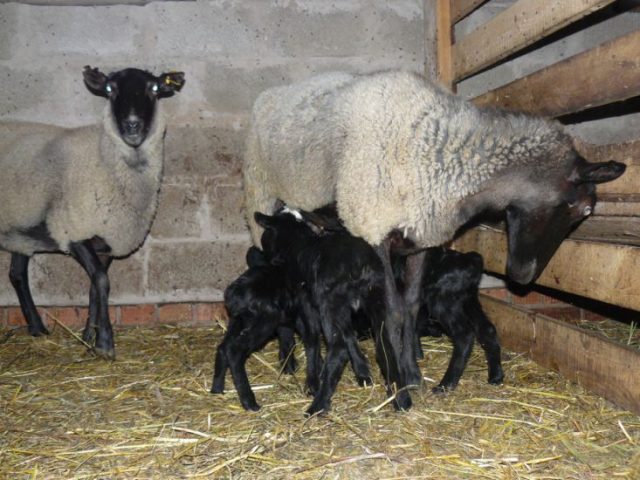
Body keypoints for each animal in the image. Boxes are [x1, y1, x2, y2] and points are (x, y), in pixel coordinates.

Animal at [0, 66, 185, 359]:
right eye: (110, 89)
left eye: (154, 88)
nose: (132, 125)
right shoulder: (75, 231)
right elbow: (101, 281)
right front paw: (105, 343)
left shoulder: (108, 241)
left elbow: (94, 288)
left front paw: (89, 337)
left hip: (20, 227)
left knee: (17, 275)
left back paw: (38, 329)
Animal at [242, 69, 625, 408]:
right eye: (583, 209)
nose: (523, 276)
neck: (438, 153)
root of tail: (270, 94)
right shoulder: (374, 230)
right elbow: (393, 312)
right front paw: (397, 380)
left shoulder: (422, 237)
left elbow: (411, 306)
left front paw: (411, 372)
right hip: (259, 194)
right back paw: (289, 359)